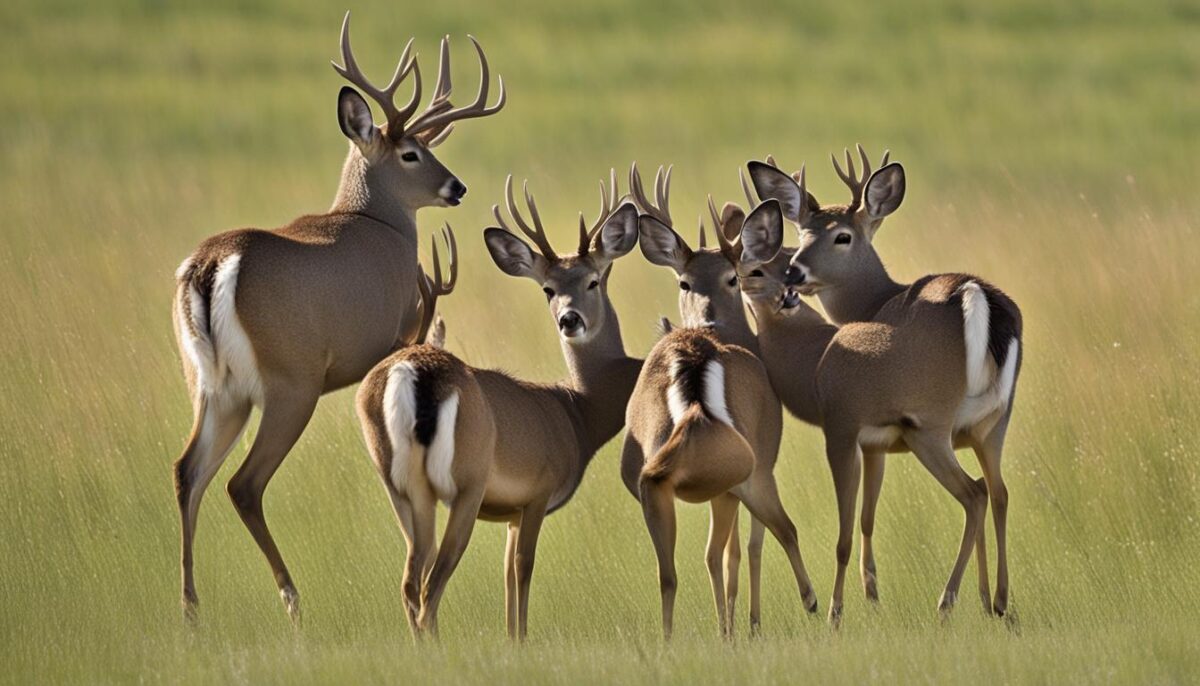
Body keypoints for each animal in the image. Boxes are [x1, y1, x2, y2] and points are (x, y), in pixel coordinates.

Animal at [170, 12, 505, 624]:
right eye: (411, 153)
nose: (458, 187)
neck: (378, 225)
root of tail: (210, 267)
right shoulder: (397, 333)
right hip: (290, 383)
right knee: (243, 484)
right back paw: (292, 600)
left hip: (212, 388)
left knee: (188, 473)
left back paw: (191, 609)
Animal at [356, 174, 643, 640]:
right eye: (548, 289)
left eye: (593, 280)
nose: (570, 319)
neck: (577, 412)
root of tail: (409, 368)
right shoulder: (538, 493)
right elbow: (523, 569)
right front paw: (521, 641)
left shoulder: (511, 511)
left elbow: (507, 575)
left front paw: (512, 639)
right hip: (465, 484)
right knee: (431, 587)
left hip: (398, 486)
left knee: (410, 583)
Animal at [622, 164, 818, 640]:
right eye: (685, 281)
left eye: (729, 277)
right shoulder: (763, 458)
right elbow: (750, 546)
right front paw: (752, 621)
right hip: (749, 466)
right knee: (768, 535)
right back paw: (802, 604)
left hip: (652, 471)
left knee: (670, 569)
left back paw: (673, 638)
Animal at [743, 147, 1023, 624]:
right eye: (801, 231)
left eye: (843, 236)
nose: (795, 273)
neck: (874, 303)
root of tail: (975, 294)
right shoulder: (881, 443)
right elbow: (868, 518)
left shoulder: (852, 425)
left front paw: (838, 609)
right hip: (994, 422)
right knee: (998, 492)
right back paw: (1000, 601)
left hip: (930, 423)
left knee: (974, 494)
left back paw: (946, 601)